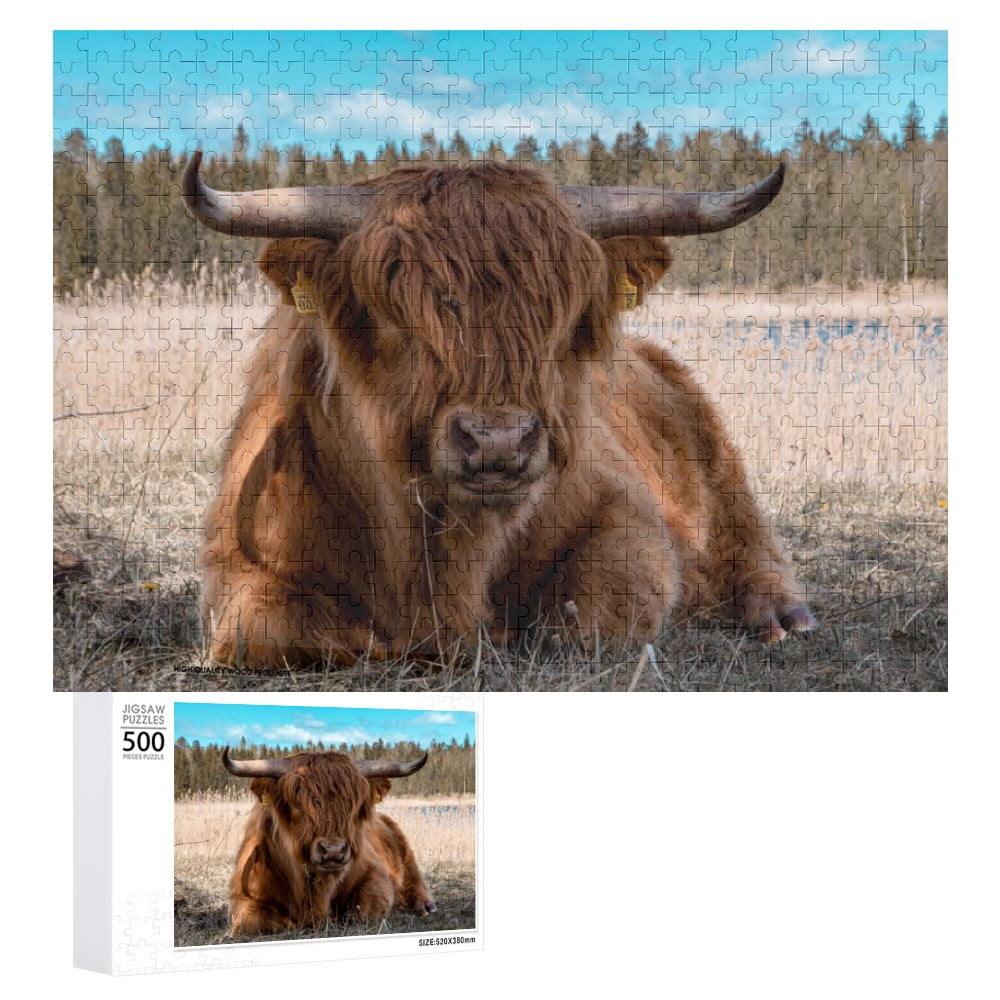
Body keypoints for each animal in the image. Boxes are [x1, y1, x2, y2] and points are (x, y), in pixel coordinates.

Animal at [183, 152, 816, 668]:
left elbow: (588, 617)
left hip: (718, 463)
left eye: (562, 318)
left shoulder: (629, 518)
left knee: (750, 540)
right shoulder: (234, 572)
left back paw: (783, 617)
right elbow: (268, 630)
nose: (498, 441)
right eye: (395, 313)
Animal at [222, 747, 437, 935]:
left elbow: (362, 911)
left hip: (405, 852)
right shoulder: (241, 900)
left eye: (354, 805)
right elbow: (255, 922)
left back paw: (426, 907)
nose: (333, 850)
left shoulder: (377, 876)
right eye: (298, 805)